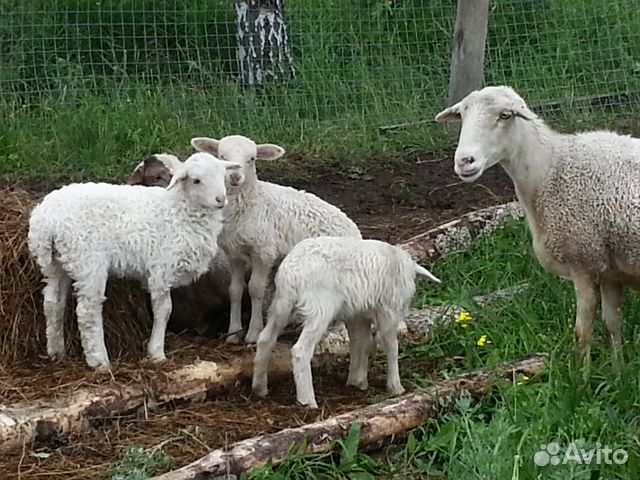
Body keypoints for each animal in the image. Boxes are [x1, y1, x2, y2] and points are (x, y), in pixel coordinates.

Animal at [28, 152, 240, 370]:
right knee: (88, 310)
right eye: (196, 180)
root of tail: (45, 221)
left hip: (55, 263)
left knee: (53, 303)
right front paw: (156, 353)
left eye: (223, 175)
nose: (220, 199)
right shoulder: (162, 268)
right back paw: (100, 361)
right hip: (88, 261)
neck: (178, 208)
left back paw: (56, 351)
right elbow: (164, 310)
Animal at [190, 134, 362, 344]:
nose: (235, 177)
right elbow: (235, 290)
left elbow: (255, 289)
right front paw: (233, 332)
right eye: (222, 157)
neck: (250, 204)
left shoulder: (263, 251)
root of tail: (355, 230)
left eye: (252, 159)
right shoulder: (234, 253)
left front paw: (253, 333)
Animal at [251, 236, 440, 408]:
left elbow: (361, 344)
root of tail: (292, 270)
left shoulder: (357, 315)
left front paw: (357, 380)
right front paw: (395, 386)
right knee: (300, 350)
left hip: (281, 304)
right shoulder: (388, 311)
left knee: (265, 339)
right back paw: (308, 400)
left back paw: (259, 387)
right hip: (319, 308)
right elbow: (391, 346)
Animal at [435, 85, 640, 371]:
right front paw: (618, 371)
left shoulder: (582, 260)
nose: (465, 161)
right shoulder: (607, 268)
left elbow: (583, 331)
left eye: (506, 115)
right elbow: (613, 324)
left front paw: (583, 376)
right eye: (462, 115)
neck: (549, 168)